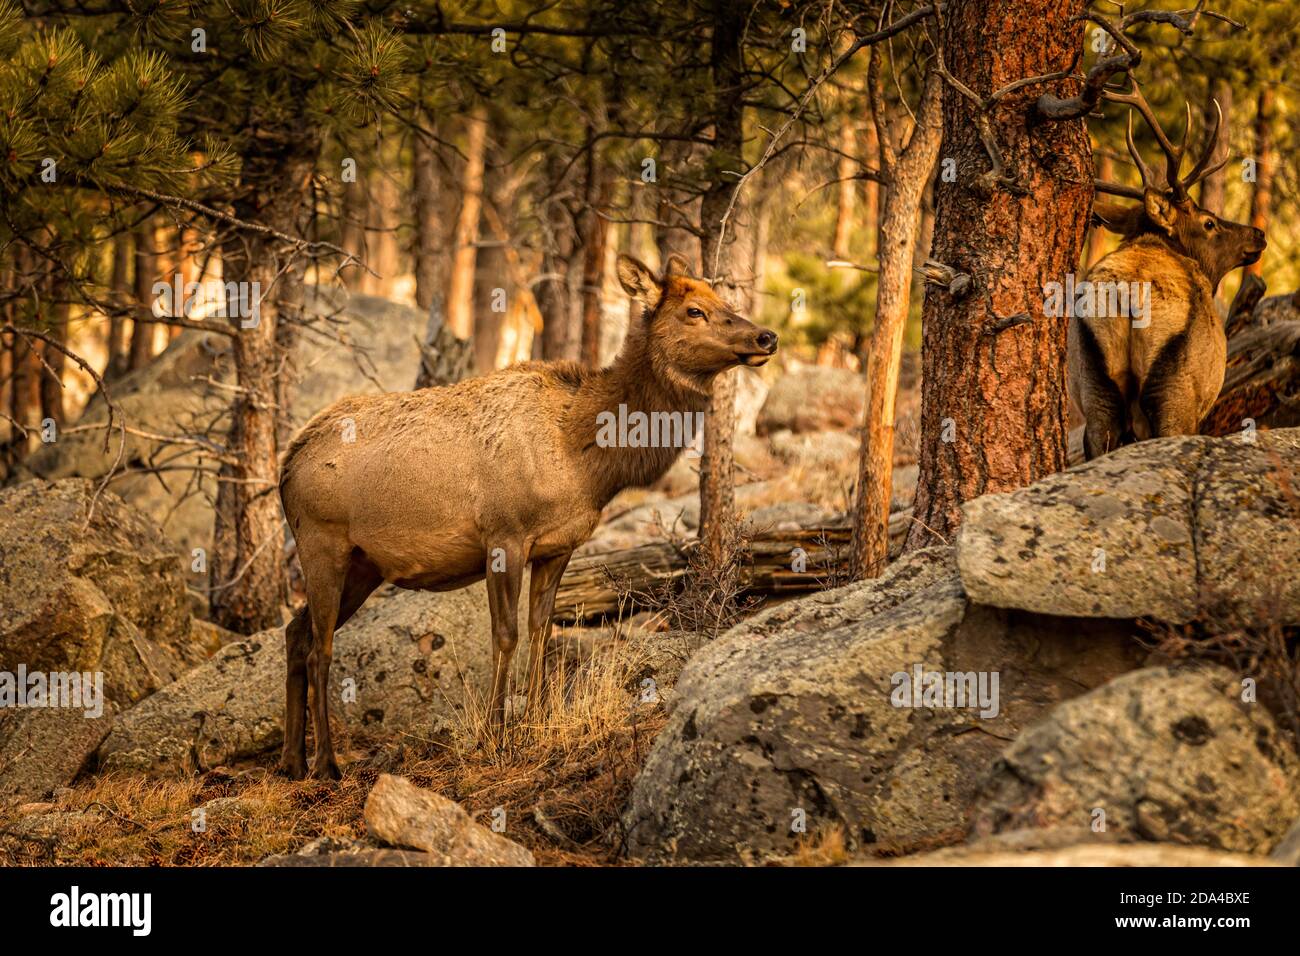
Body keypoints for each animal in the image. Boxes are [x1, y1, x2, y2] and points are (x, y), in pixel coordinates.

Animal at [276, 254, 778, 779]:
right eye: (694, 311)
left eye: (724, 299)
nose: (766, 337)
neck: (586, 460)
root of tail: (287, 462)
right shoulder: (504, 534)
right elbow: (506, 635)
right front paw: (493, 736)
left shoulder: (558, 546)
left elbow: (542, 632)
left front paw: (535, 723)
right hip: (323, 541)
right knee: (320, 646)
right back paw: (325, 763)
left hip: (363, 564)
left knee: (295, 633)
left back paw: (291, 759)